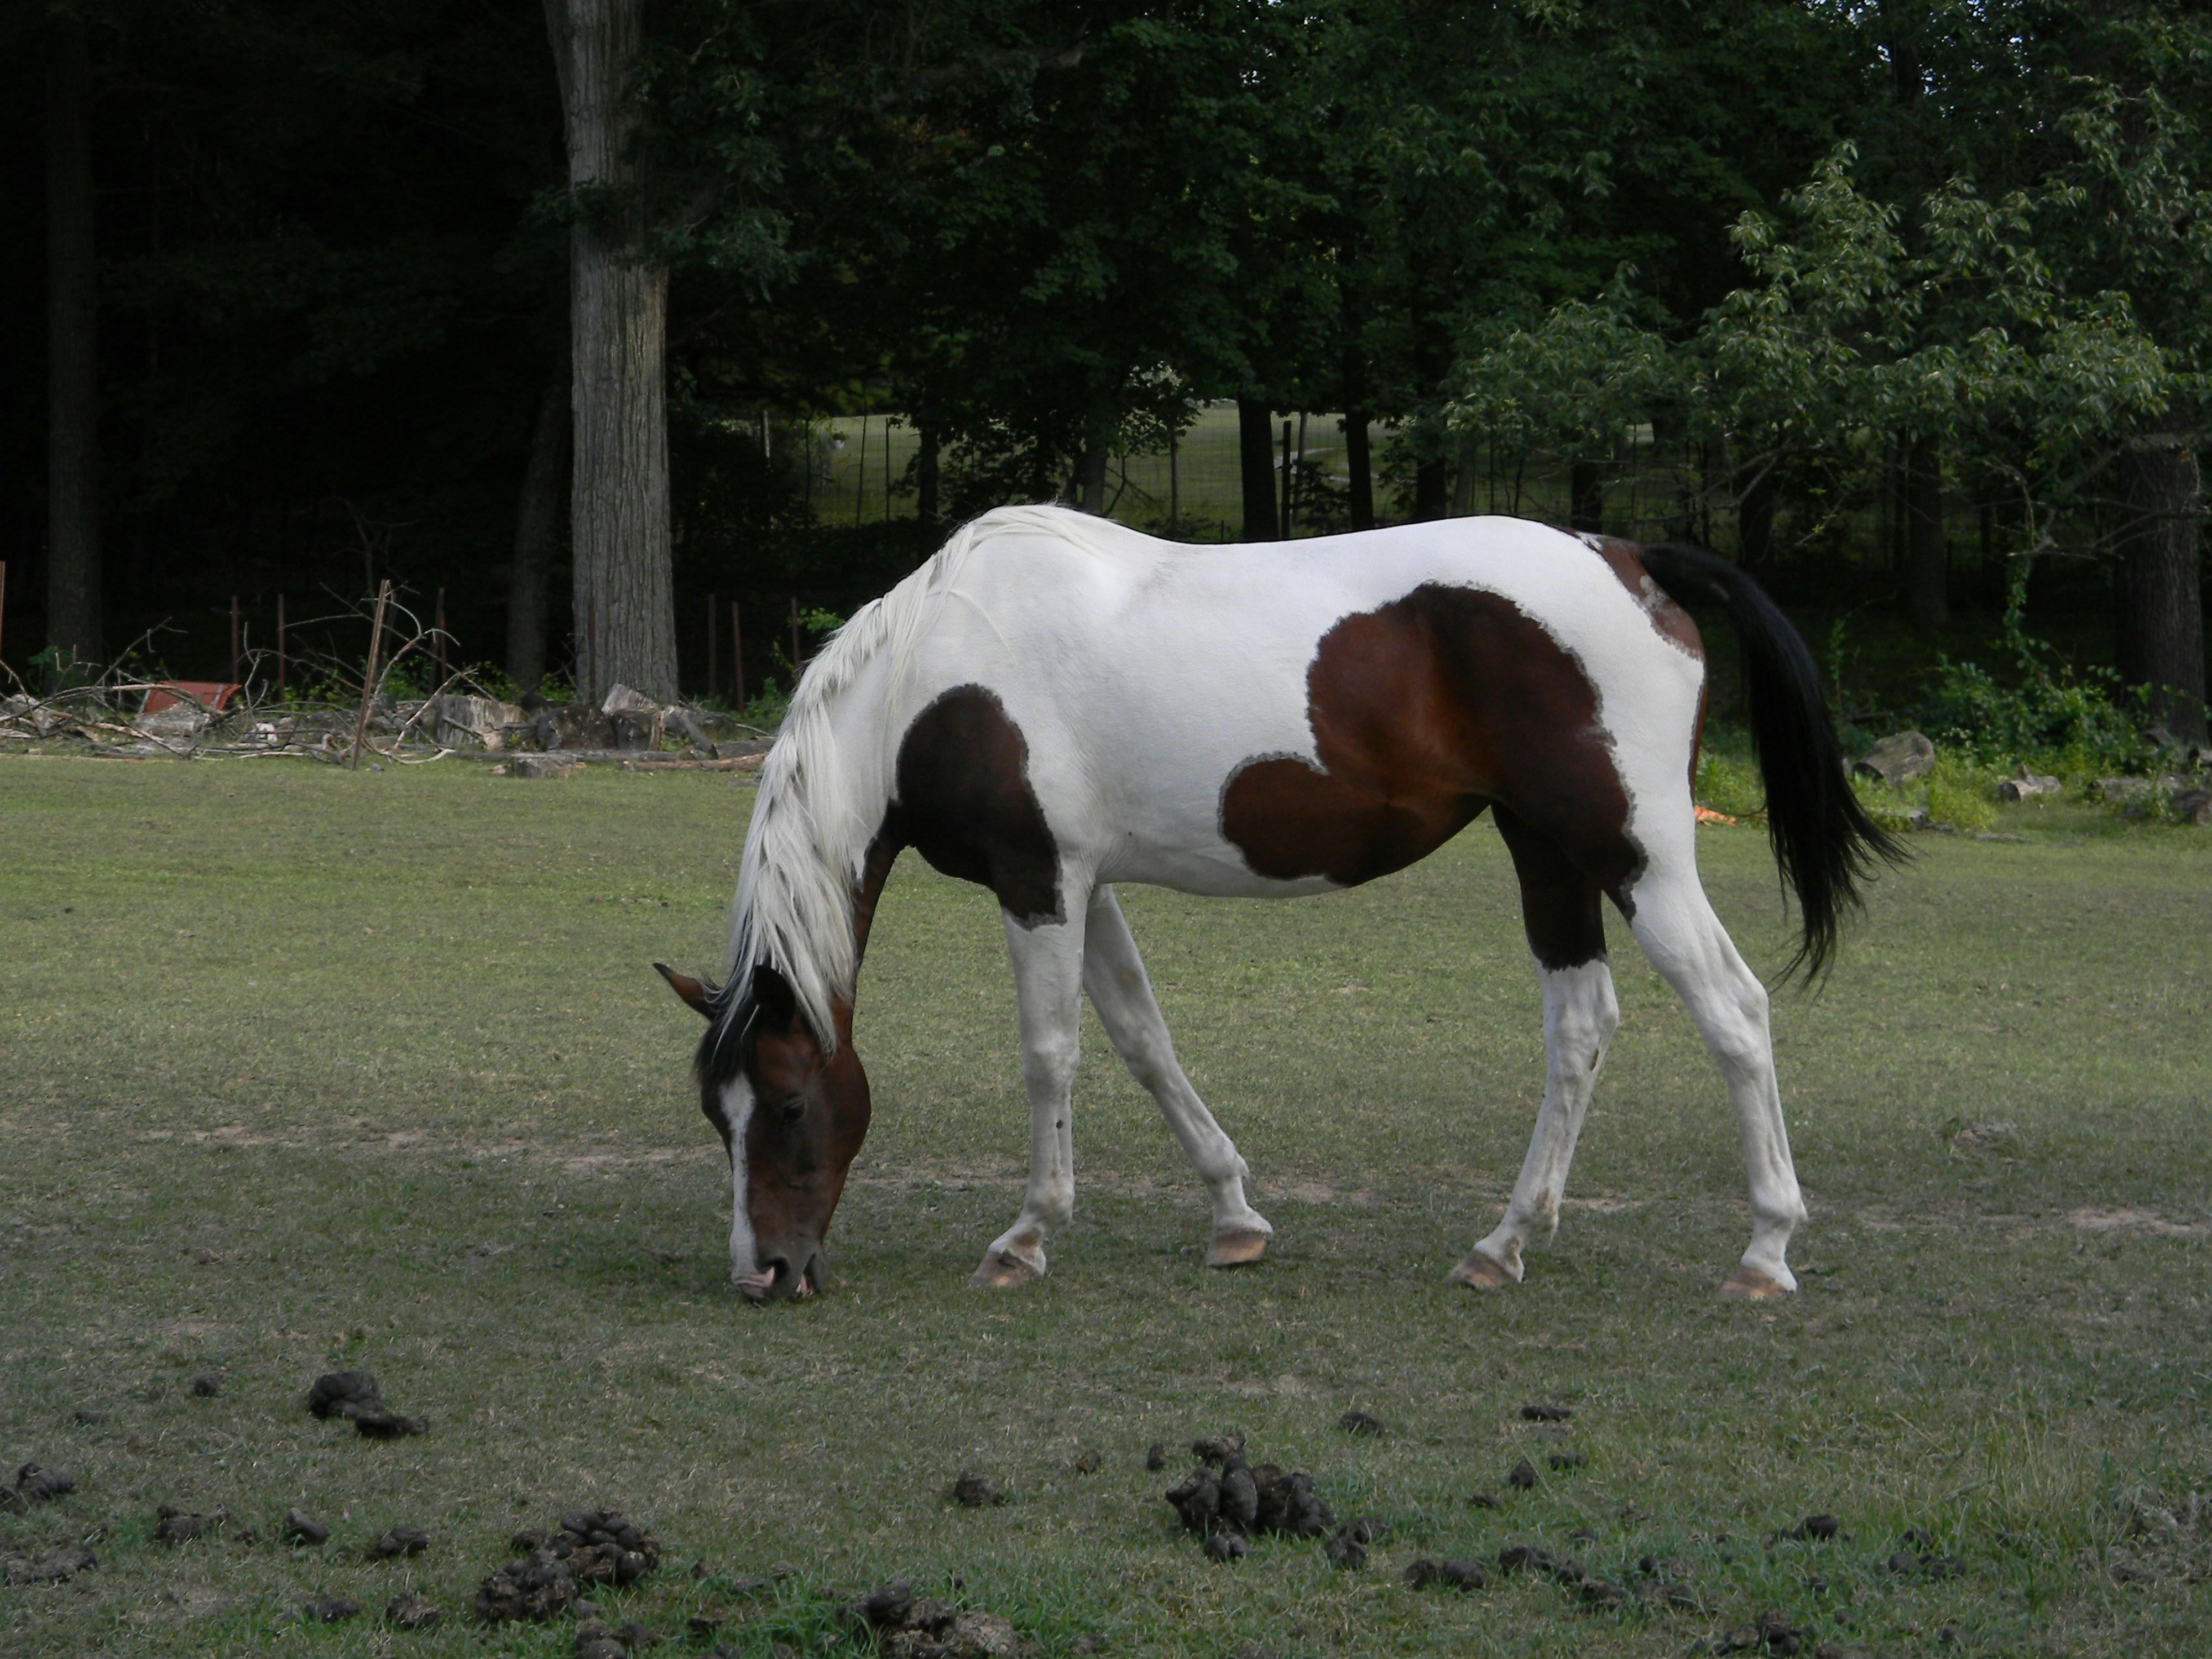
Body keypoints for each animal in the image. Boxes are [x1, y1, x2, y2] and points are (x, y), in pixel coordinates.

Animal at [655, 504, 1900, 1304]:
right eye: (716, 1113)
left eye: (789, 1105)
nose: (763, 1272)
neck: (934, 671)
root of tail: (1631, 559)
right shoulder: (1085, 883)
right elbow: (1142, 1040)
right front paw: (1234, 1218)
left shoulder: (1037, 881)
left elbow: (1051, 1056)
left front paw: (1025, 1238)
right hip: (1547, 854)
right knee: (1582, 1026)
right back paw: (1502, 1245)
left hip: (1633, 853)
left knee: (1733, 1012)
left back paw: (1762, 1255)